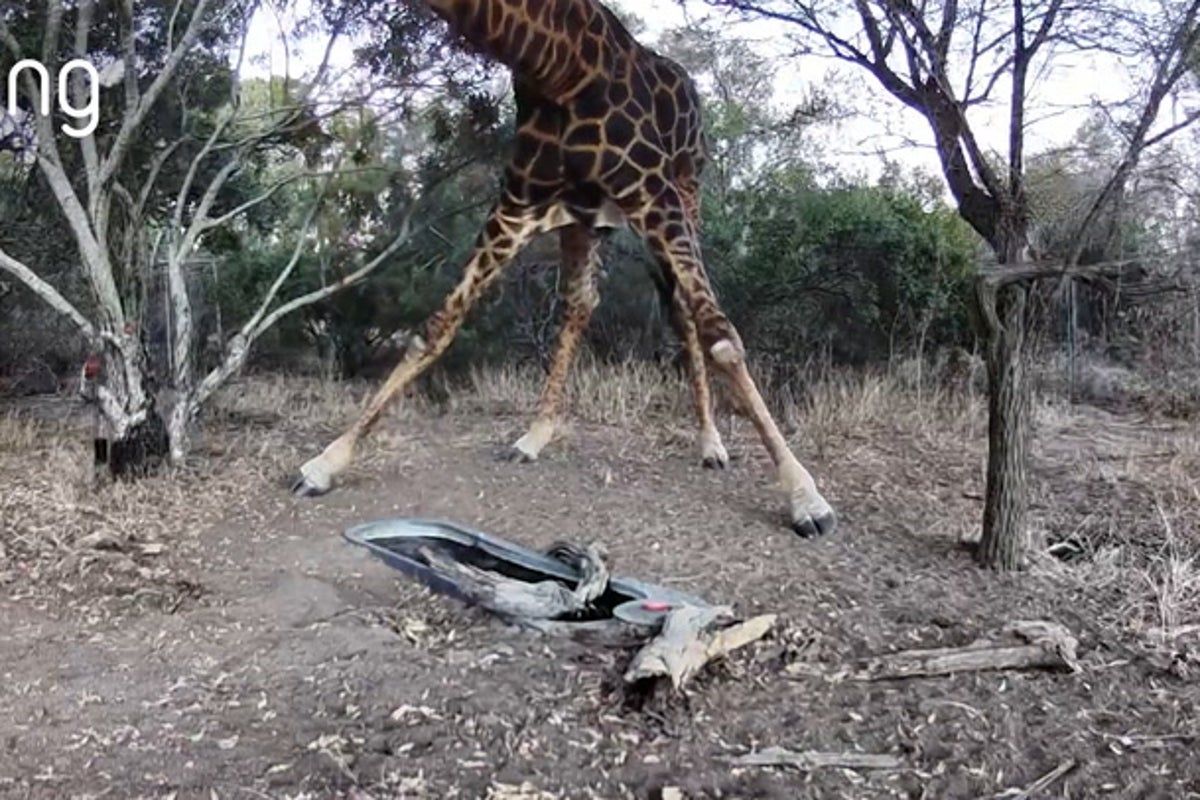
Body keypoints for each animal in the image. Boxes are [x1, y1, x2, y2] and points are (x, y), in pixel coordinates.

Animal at [292, 0, 837, 538]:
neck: (554, 65)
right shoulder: (517, 207)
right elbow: (437, 327)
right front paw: (326, 463)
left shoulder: (654, 193)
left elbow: (722, 335)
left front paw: (806, 497)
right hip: (584, 221)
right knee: (581, 302)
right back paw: (535, 435)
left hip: (687, 189)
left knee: (681, 309)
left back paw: (710, 443)